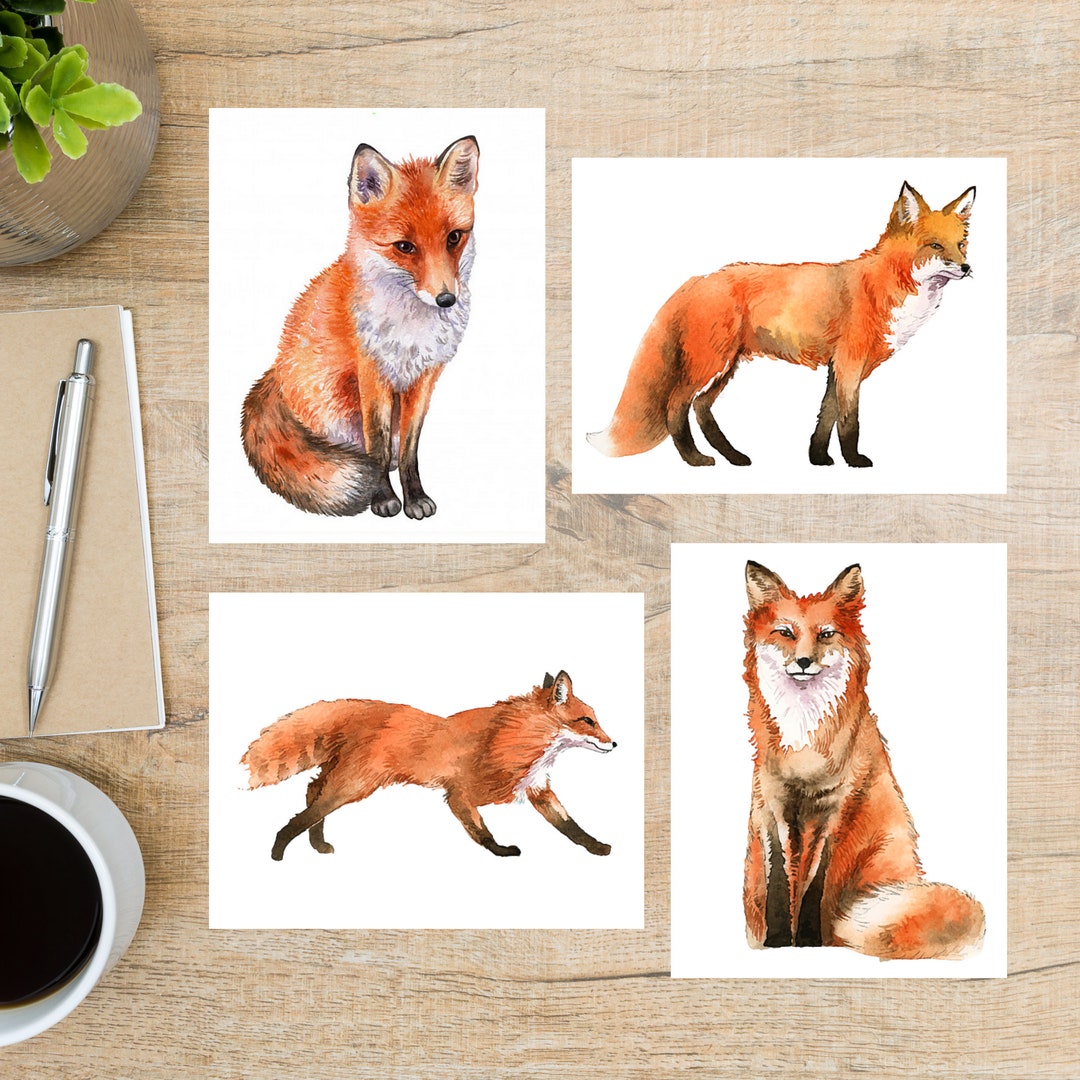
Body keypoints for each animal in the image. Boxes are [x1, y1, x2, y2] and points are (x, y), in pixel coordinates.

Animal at [241, 135, 480, 518]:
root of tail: (274, 374)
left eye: (454, 238)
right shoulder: (371, 373)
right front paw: (382, 497)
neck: (410, 332)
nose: (446, 299)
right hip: (335, 404)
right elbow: (376, 446)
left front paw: (414, 496)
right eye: (404, 246)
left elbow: (409, 449)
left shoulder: (423, 379)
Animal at [241, 671, 615, 861]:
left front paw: (598, 848)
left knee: (311, 792)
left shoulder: (538, 789)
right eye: (588, 721)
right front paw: (502, 852)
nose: (614, 743)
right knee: (311, 806)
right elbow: (482, 832)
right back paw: (278, 849)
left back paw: (316, 845)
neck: (518, 736)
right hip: (354, 785)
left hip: (346, 779)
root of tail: (371, 708)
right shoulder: (461, 793)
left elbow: (571, 827)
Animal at [588, 182, 975, 469]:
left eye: (961, 245)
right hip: (710, 364)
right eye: (935, 246)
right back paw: (696, 459)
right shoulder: (850, 363)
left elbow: (825, 416)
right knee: (676, 408)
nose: (967, 268)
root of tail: (700, 278)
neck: (886, 285)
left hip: (726, 367)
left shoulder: (837, 368)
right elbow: (849, 422)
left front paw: (818, 459)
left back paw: (732, 457)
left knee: (701, 409)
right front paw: (853, 461)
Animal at [741, 560, 984, 959]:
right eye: (786, 633)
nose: (804, 661)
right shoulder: (770, 803)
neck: (804, 745)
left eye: (826, 634)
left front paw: (806, 941)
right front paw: (777, 942)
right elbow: (778, 880)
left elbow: (814, 883)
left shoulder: (836, 809)